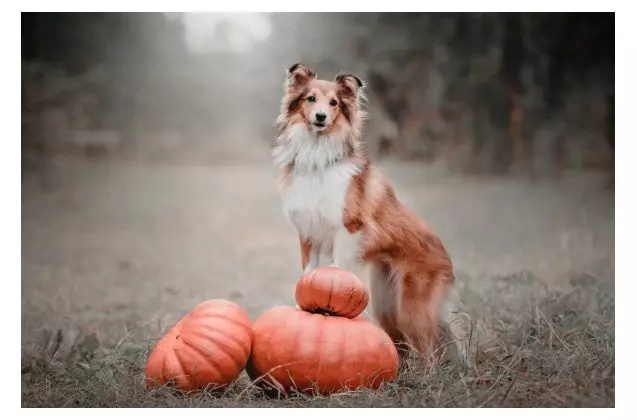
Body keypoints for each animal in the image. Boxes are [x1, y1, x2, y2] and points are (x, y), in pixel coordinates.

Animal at [270, 63, 468, 368]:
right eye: (310, 99)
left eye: (334, 103)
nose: (320, 117)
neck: (318, 153)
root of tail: (446, 256)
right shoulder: (308, 234)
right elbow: (309, 273)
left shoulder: (347, 230)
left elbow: (336, 269)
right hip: (386, 303)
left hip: (412, 305)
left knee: (430, 348)